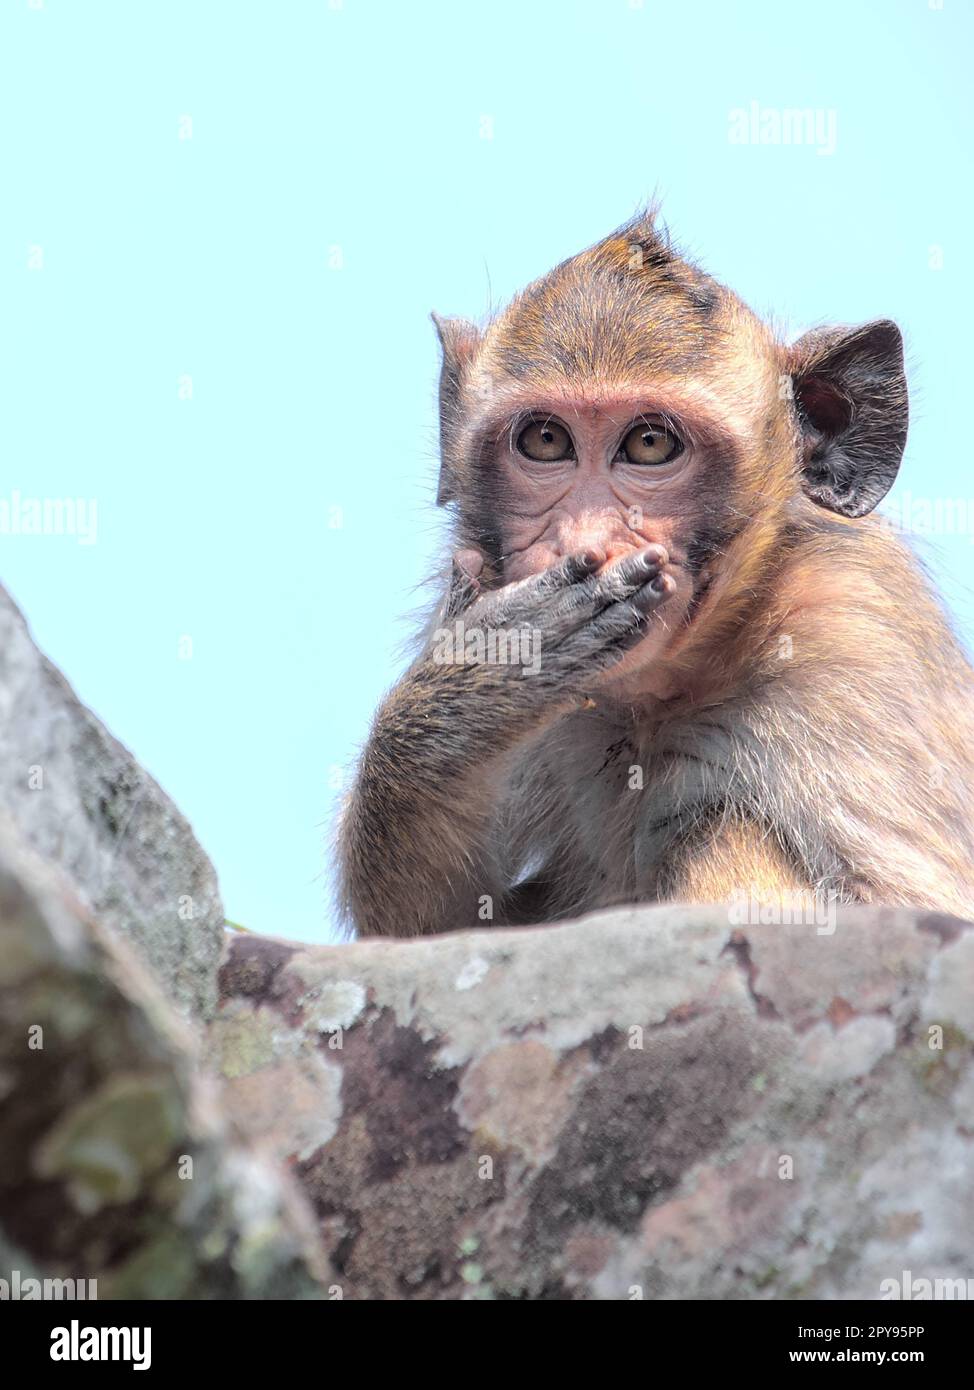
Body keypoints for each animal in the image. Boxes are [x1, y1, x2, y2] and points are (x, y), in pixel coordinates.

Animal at [338, 208, 974, 939]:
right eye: (545, 441)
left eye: (649, 444)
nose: (584, 543)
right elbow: (435, 920)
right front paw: (481, 675)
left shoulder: (848, 646)